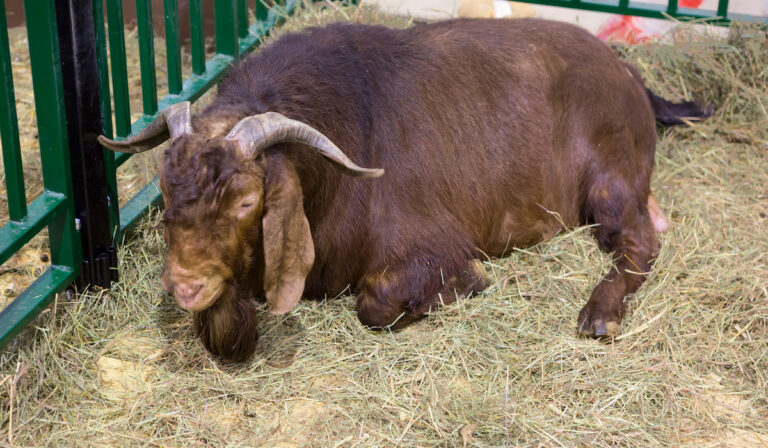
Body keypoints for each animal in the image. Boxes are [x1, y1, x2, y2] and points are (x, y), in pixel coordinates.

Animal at [100, 19, 710, 361]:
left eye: (248, 201)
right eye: (163, 183)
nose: (185, 285)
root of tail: (630, 76)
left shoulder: (429, 245)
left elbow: (377, 302)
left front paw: (468, 284)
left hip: (610, 173)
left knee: (640, 238)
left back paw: (600, 314)